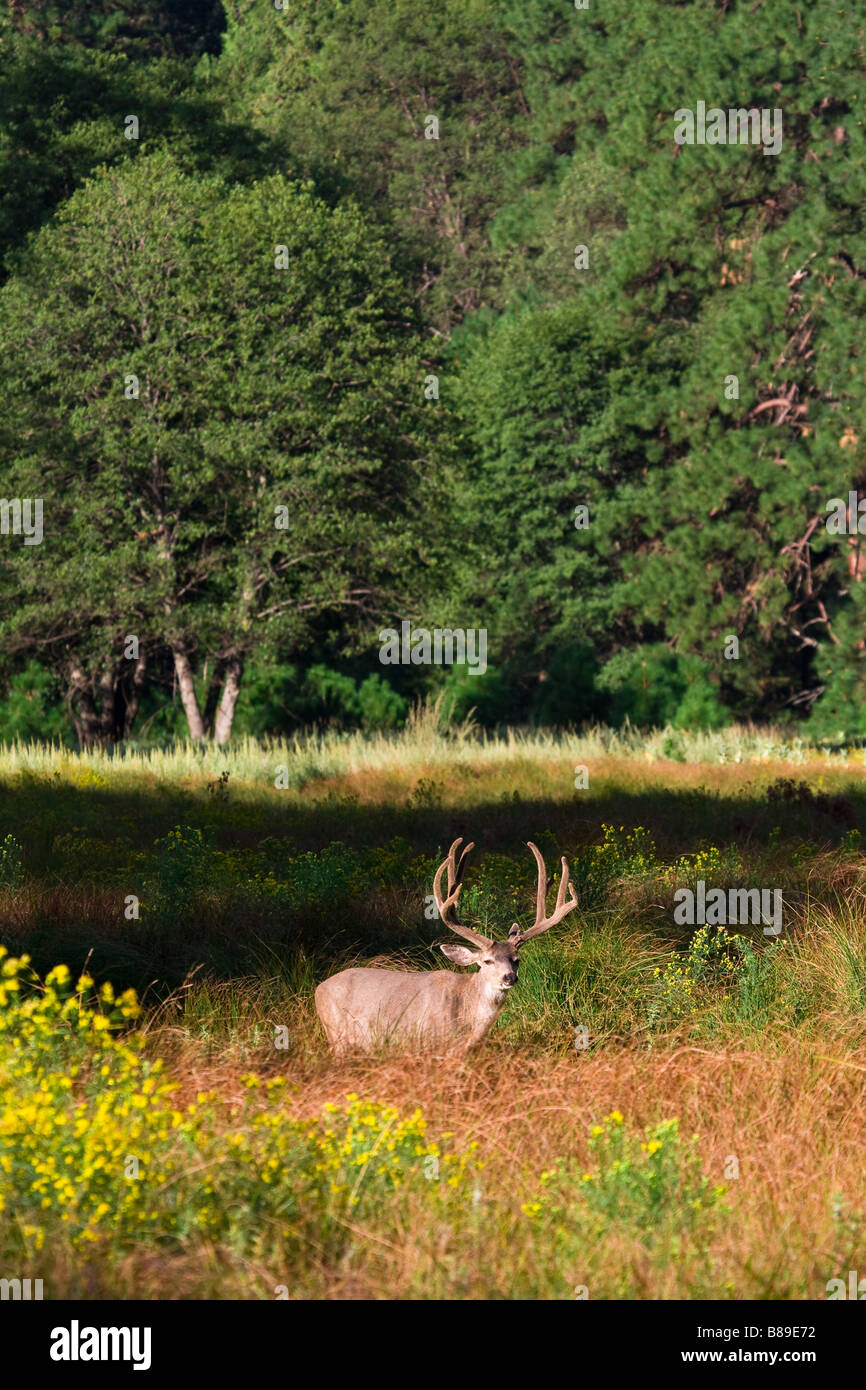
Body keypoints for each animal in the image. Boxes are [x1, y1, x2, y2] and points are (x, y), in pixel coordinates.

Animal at [315, 838, 580, 1055]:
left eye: (517, 959)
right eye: (486, 961)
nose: (509, 977)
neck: (466, 1014)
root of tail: (318, 988)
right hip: (336, 1035)